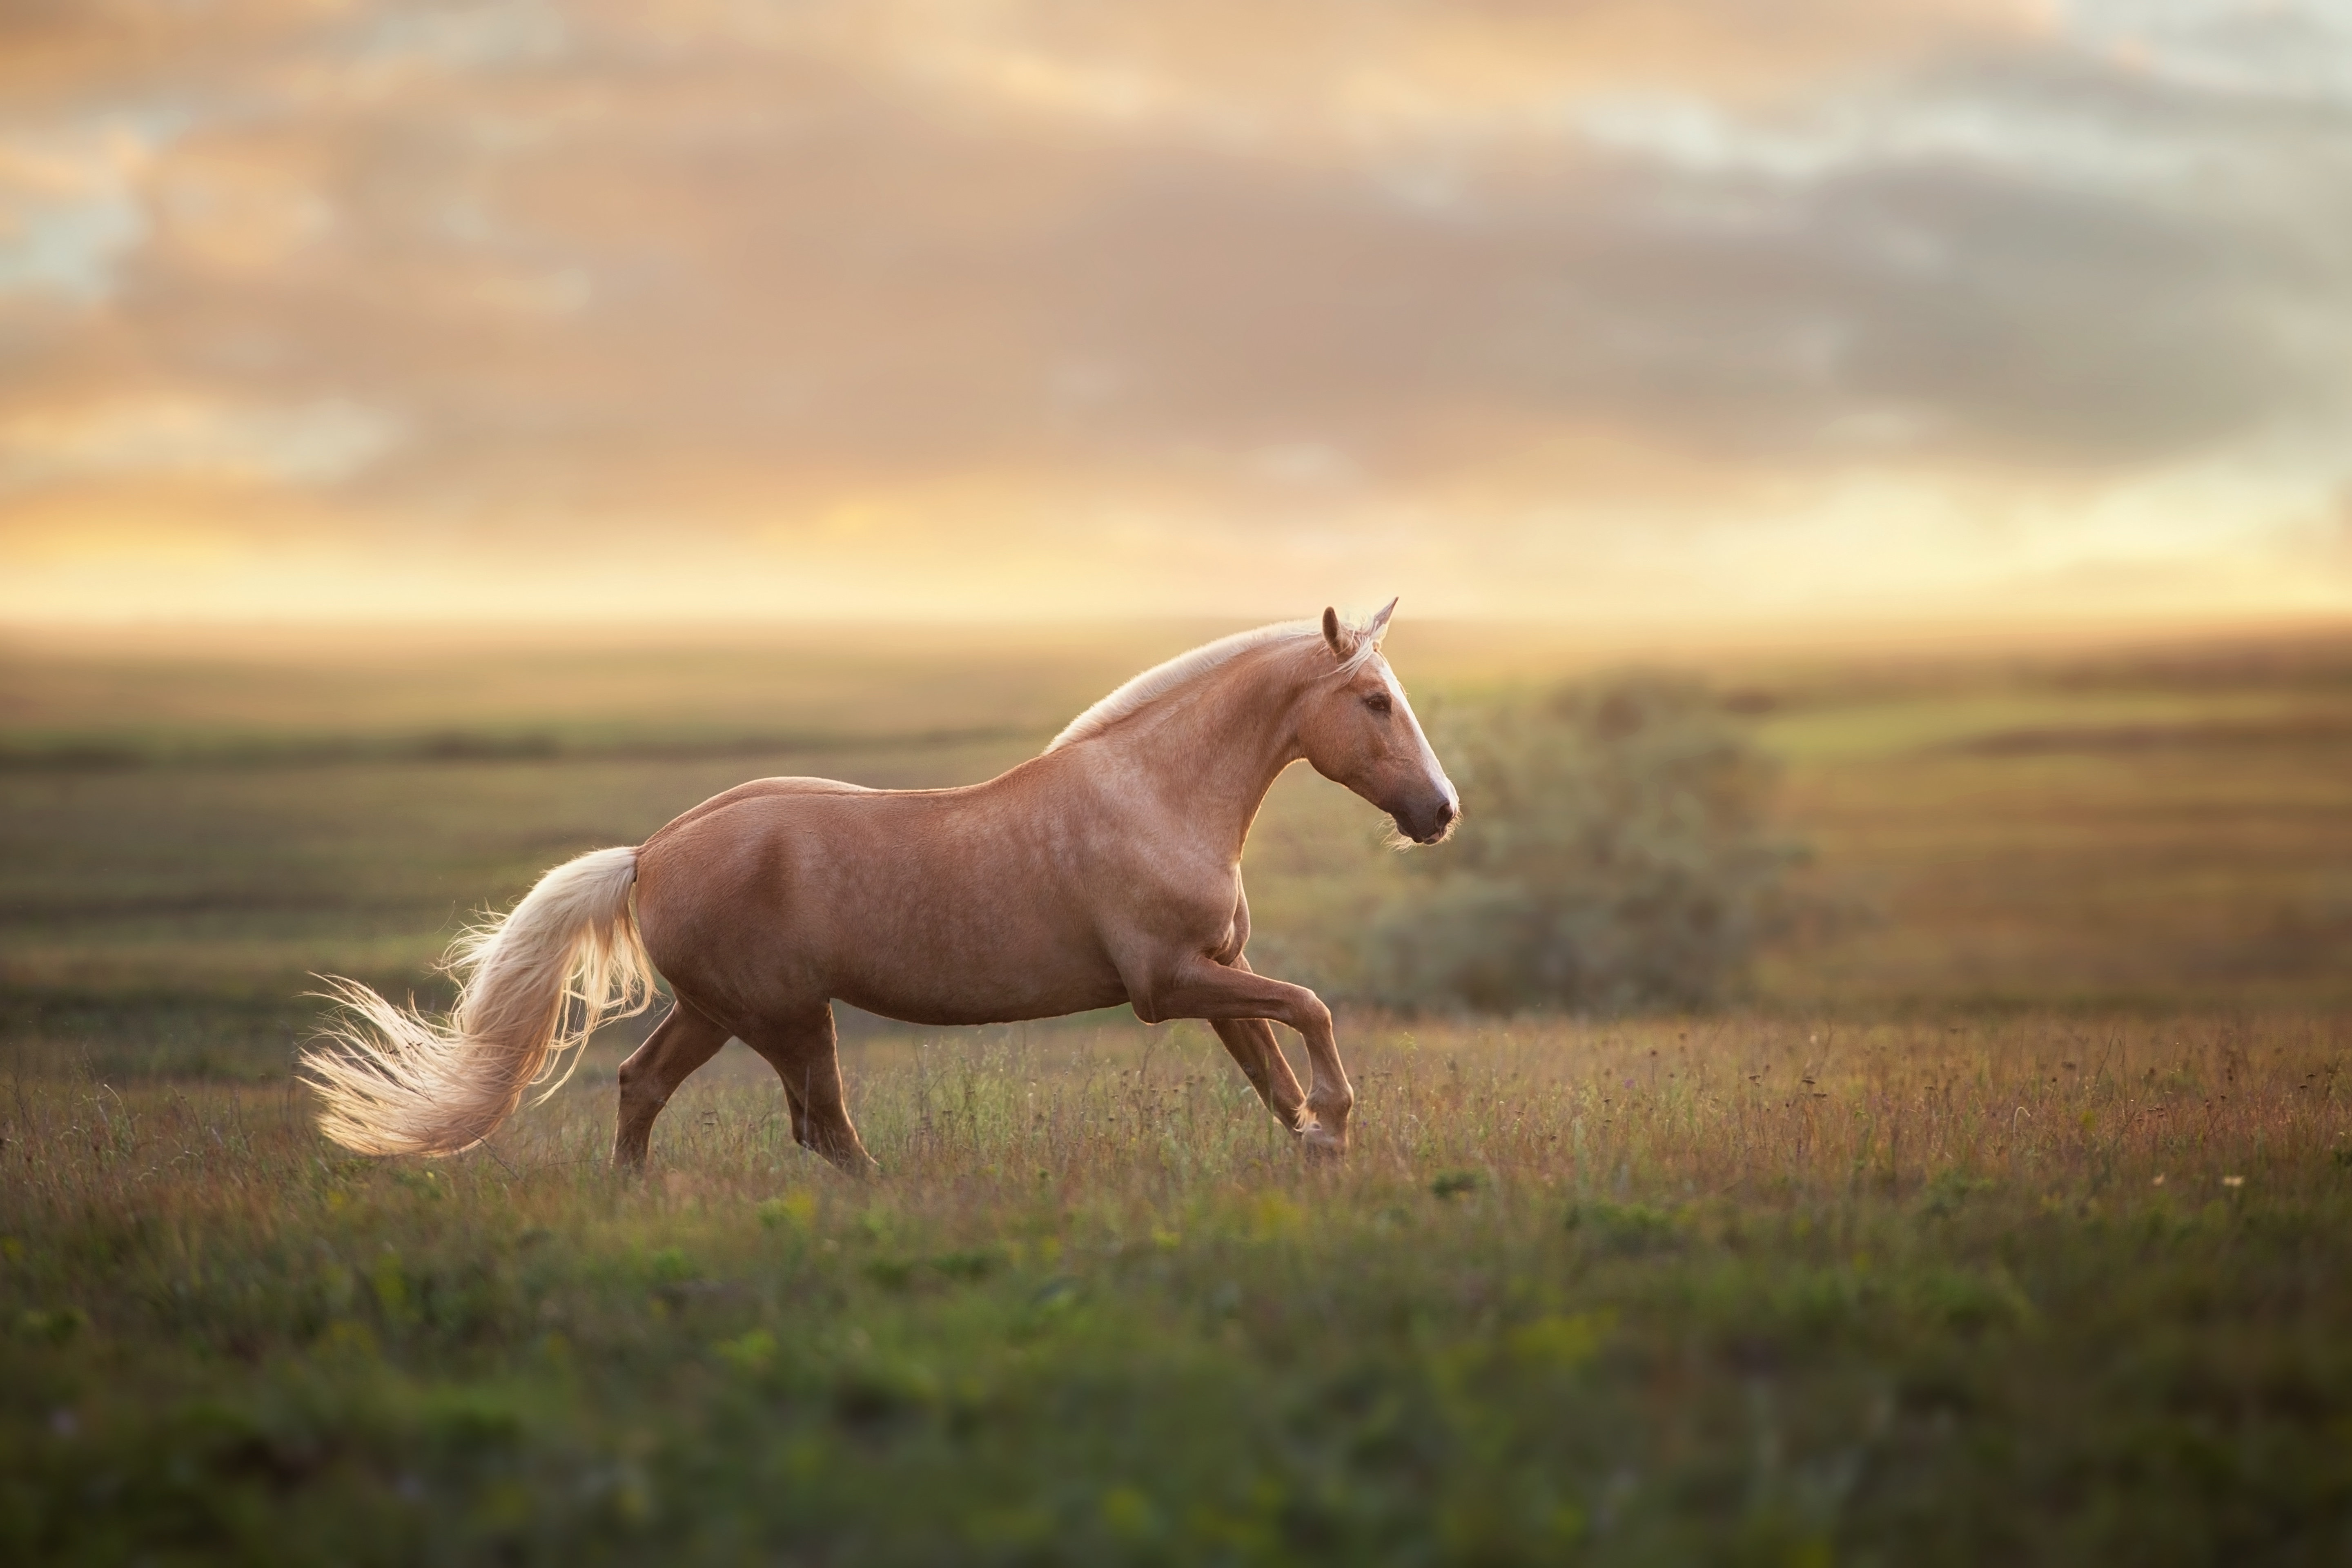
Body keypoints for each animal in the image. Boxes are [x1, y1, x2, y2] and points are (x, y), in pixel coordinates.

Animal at [303, 601, 1459, 1172]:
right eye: (1371, 700)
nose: (1439, 811)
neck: (1153, 794)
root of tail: (651, 852)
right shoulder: (1167, 984)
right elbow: (1310, 1012)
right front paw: (1338, 1127)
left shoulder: (1215, 972)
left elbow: (1272, 1071)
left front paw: (1319, 1150)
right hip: (784, 1017)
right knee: (823, 1130)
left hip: (719, 1012)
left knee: (645, 1088)